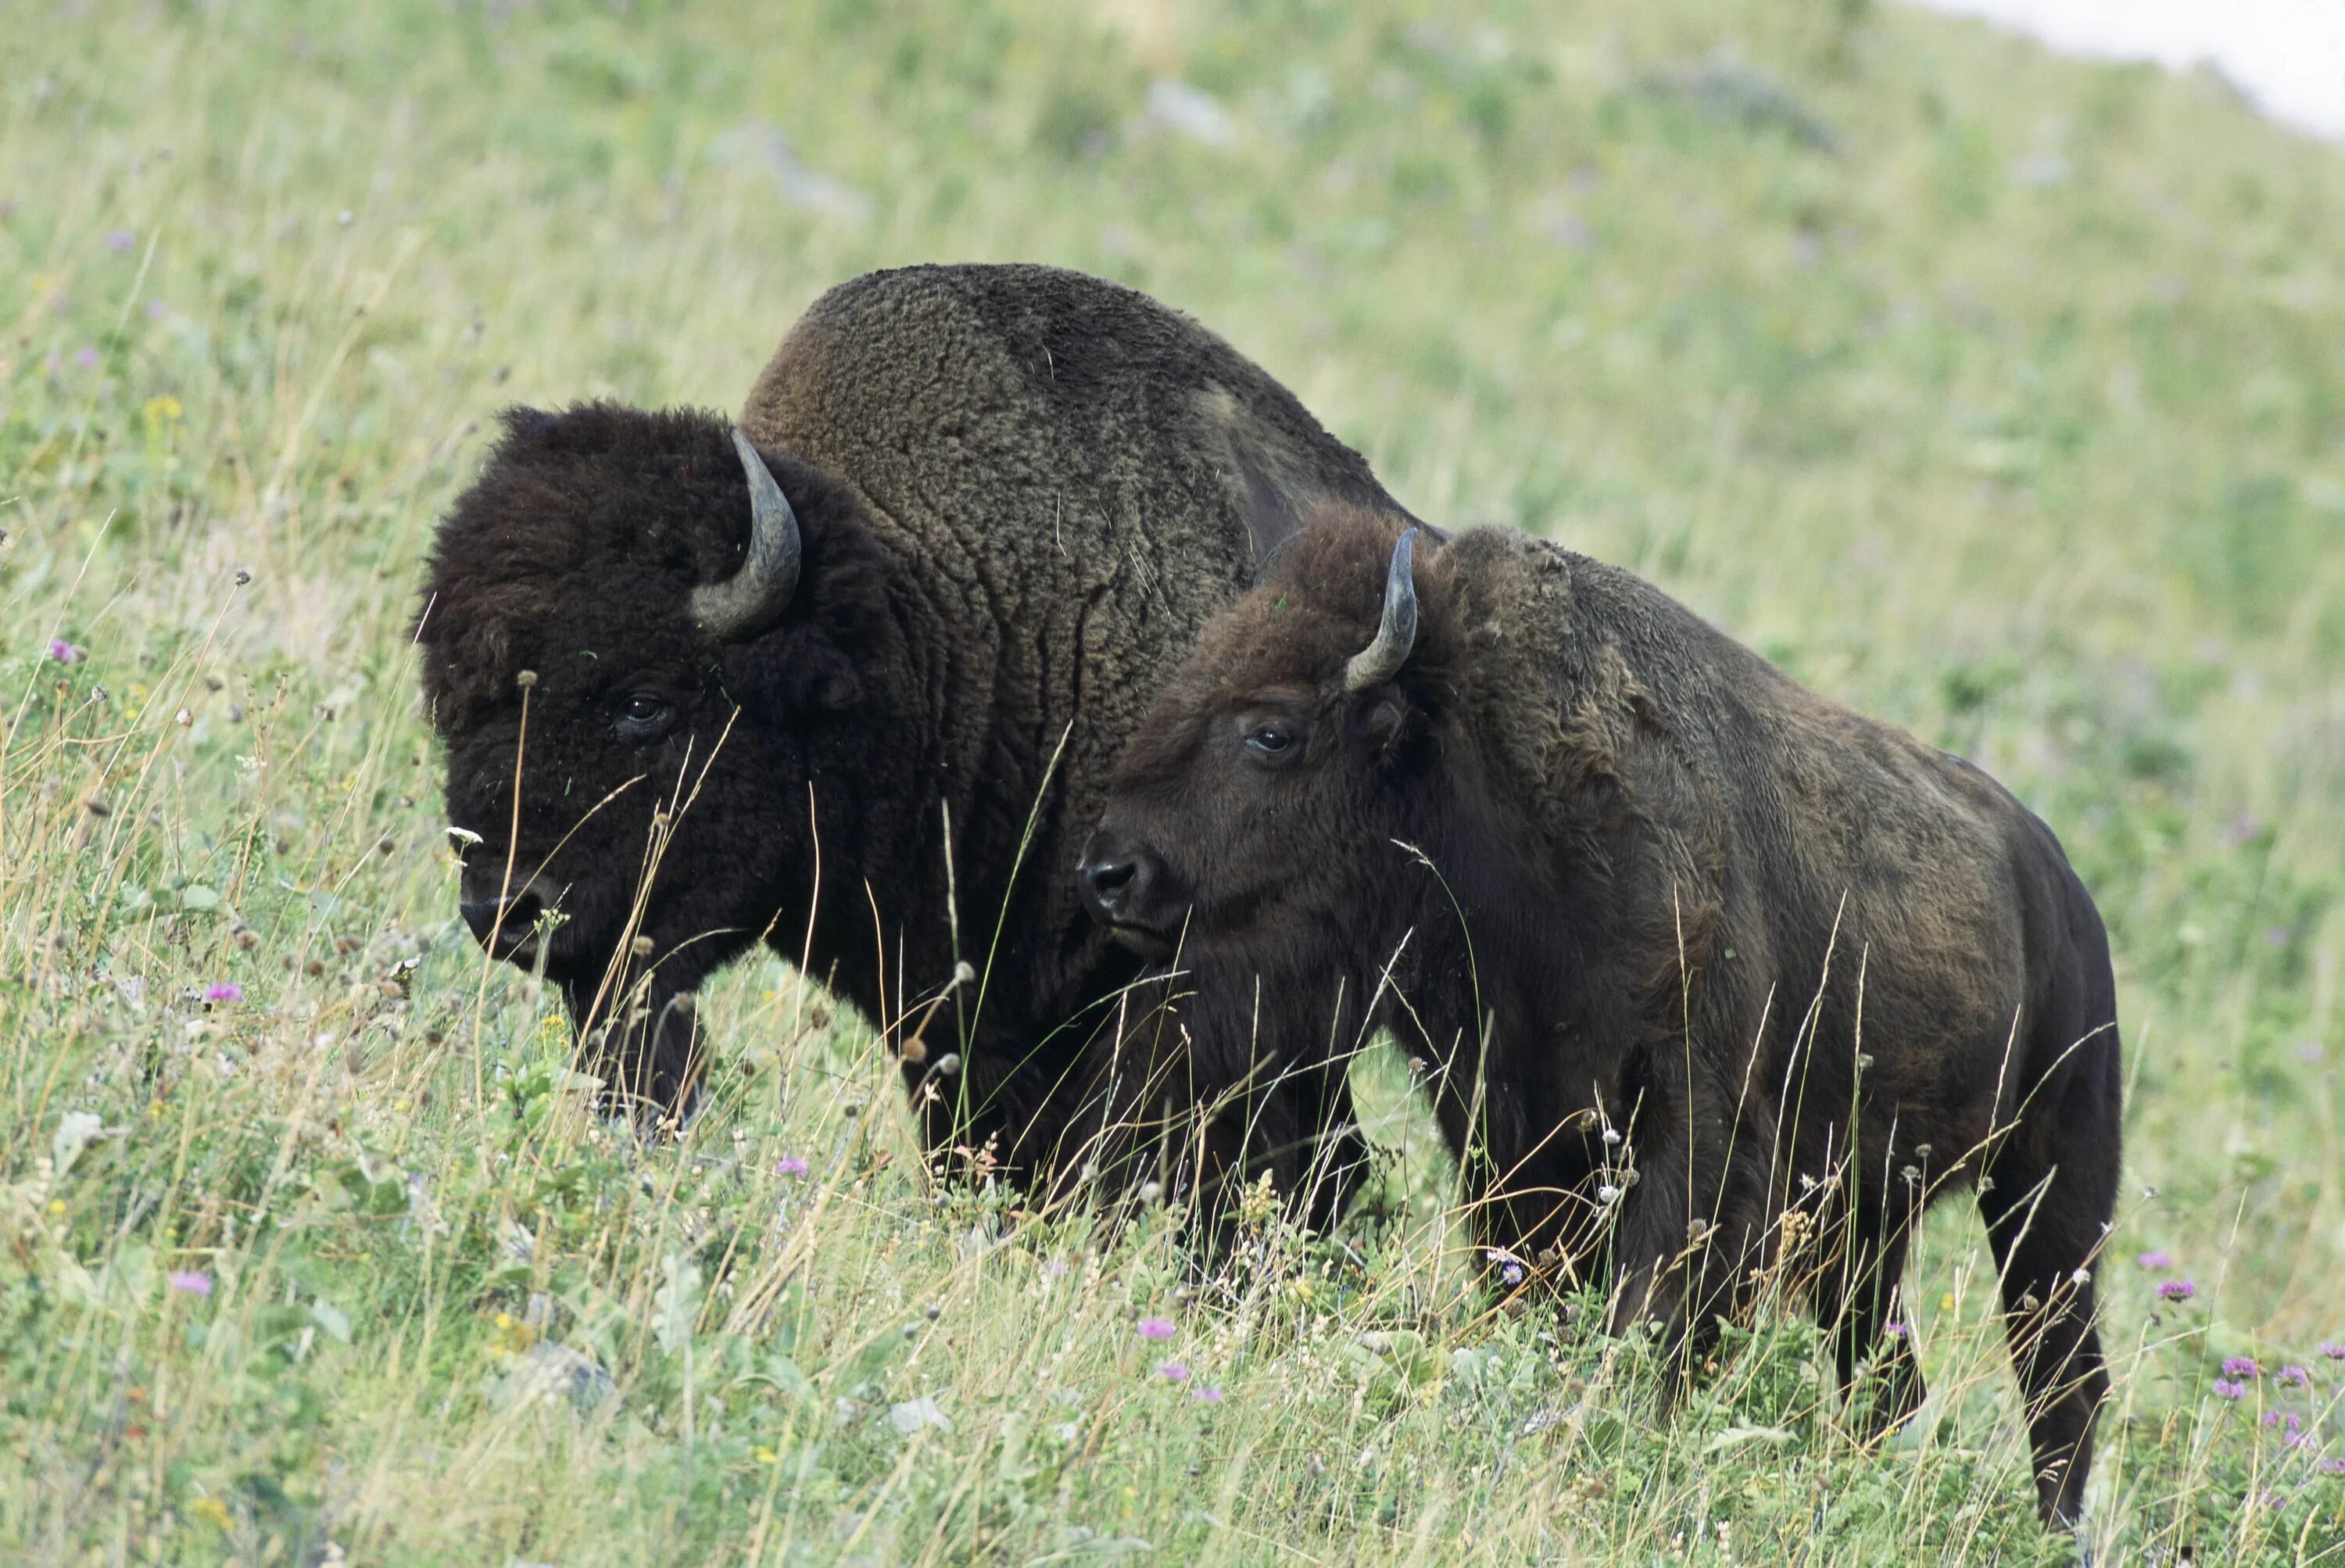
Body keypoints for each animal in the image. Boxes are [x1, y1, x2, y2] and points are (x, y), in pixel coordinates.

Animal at [1079, 508, 2129, 1519]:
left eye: (1273, 731)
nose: (1109, 871)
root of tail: (2065, 891)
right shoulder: (1511, 1137)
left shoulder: (1694, 1139)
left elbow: (1650, 1322)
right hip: (1867, 1224)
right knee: (1888, 1377)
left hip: (2049, 1191)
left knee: (2062, 1382)